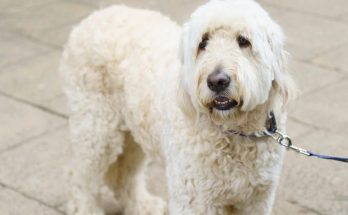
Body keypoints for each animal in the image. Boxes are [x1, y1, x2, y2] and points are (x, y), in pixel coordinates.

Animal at [59, 0, 296, 215]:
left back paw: (143, 205)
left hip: (135, 131)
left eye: (243, 41)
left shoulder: (258, 199)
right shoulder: (193, 199)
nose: (217, 81)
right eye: (203, 43)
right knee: (81, 176)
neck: (233, 132)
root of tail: (96, 16)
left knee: (124, 174)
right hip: (96, 128)